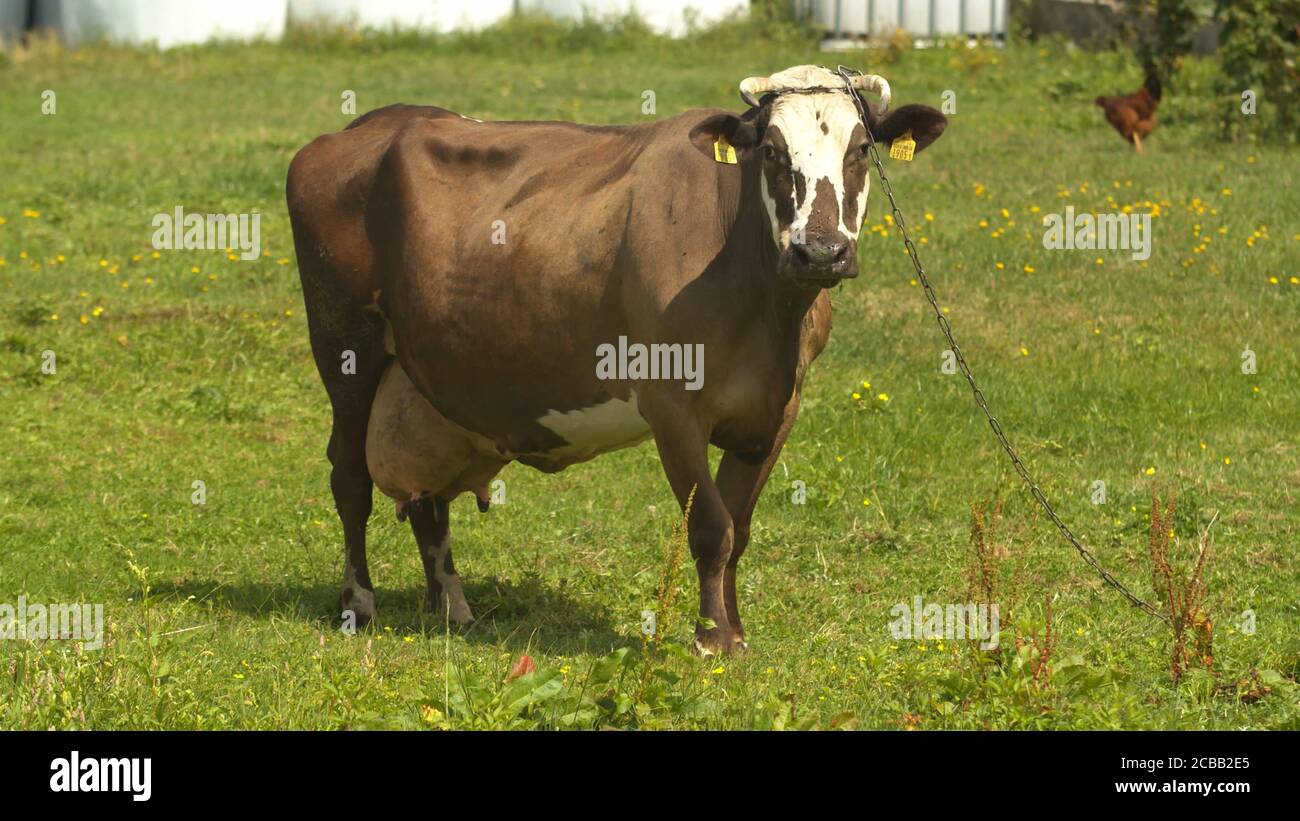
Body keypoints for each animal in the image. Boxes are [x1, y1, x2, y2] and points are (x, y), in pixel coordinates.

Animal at [286, 64, 946, 654]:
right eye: (772, 153)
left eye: (861, 149)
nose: (822, 252)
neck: (763, 299)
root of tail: (366, 126)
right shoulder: (671, 405)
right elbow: (711, 527)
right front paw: (712, 639)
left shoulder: (777, 408)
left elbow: (740, 527)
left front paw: (734, 629)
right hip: (344, 347)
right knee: (349, 477)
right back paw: (358, 602)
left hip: (429, 380)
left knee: (426, 499)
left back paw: (453, 607)